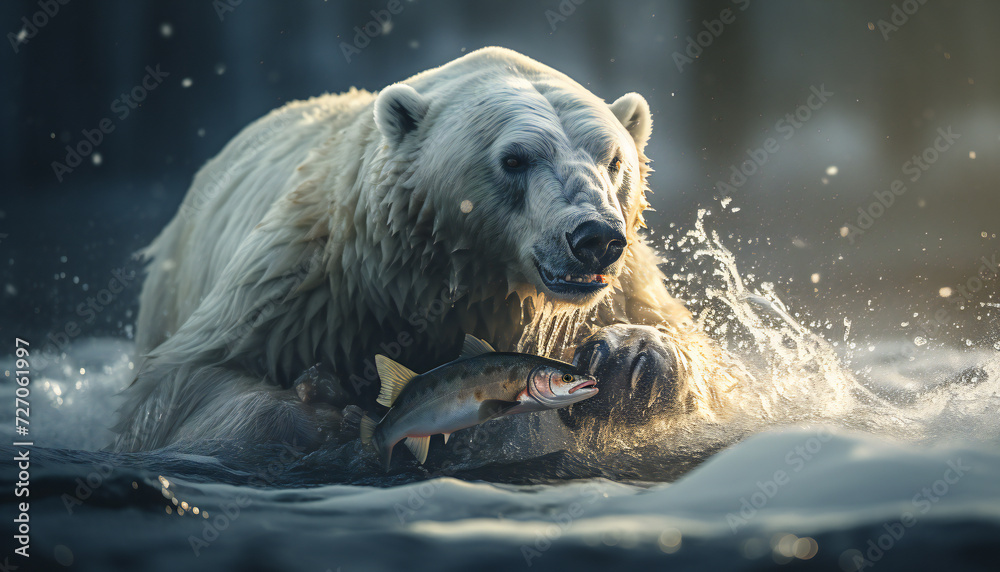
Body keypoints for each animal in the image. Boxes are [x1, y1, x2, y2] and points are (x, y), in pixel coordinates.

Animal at [113, 47, 740, 453]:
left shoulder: (622, 286)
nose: (593, 239)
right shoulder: (305, 282)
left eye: (613, 160)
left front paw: (630, 362)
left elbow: (717, 375)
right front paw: (322, 407)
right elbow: (177, 385)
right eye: (515, 158)